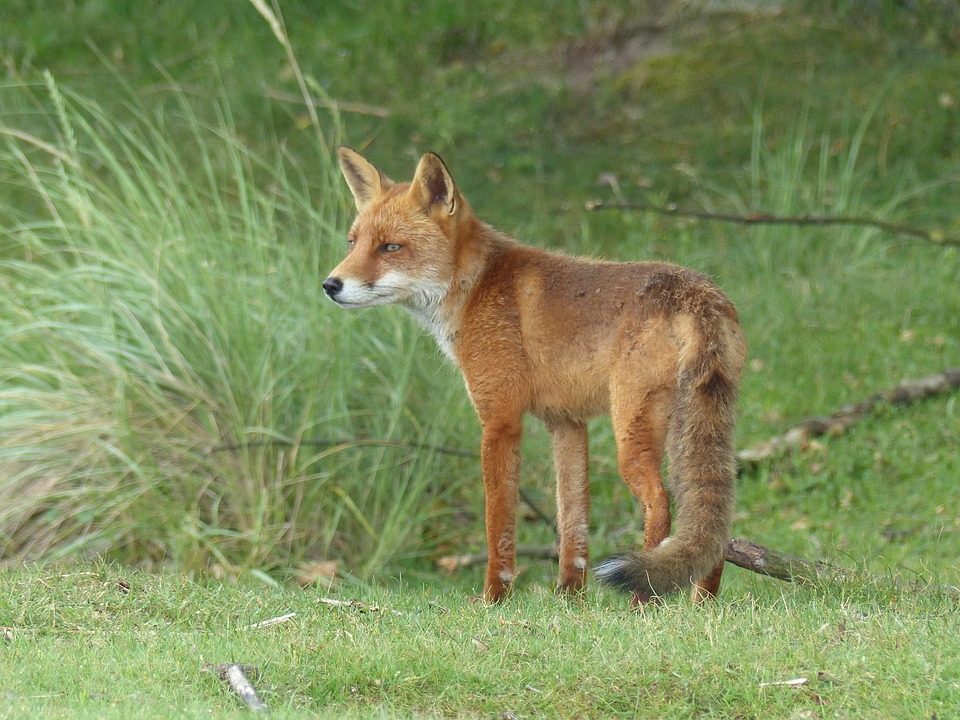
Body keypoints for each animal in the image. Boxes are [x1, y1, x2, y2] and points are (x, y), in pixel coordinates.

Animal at [323, 147, 747, 604]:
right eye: (353, 243)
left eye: (390, 247)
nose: (331, 284)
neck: (477, 287)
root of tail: (700, 294)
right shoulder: (566, 422)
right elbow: (572, 523)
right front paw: (570, 598)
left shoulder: (500, 418)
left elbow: (499, 522)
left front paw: (493, 596)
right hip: (701, 427)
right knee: (715, 521)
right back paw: (702, 604)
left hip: (633, 431)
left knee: (661, 503)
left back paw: (642, 601)